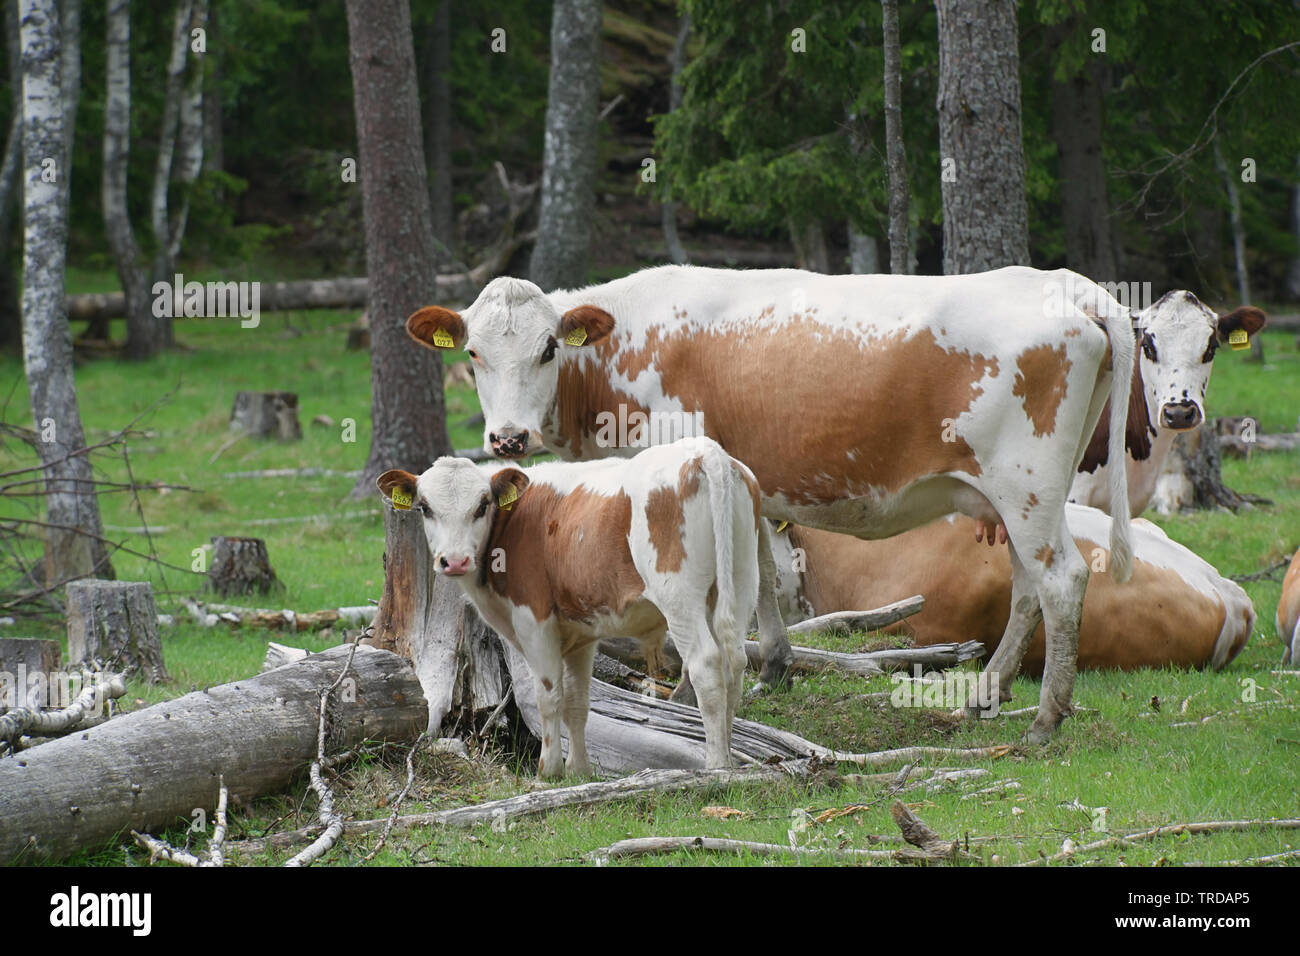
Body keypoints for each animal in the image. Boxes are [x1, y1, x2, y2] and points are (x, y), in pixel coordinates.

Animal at [375, 436, 763, 777]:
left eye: (482, 506)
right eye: (425, 508)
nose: (454, 561)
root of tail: (704, 451)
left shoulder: (534, 619)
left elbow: (549, 697)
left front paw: (549, 770)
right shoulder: (581, 632)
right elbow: (577, 701)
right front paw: (579, 769)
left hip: (680, 597)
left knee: (706, 665)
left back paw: (716, 763)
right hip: (742, 581)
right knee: (734, 661)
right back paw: (729, 752)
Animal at [404, 264, 1137, 742]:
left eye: (548, 347)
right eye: (474, 354)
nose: (507, 437)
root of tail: (1074, 284)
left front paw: (682, 691)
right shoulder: (744, 478)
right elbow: (755, 568)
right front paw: (775, 667)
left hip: (1024, 483)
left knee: (1062, 580)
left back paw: (1045, 718)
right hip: (1028, 493)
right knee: (1027, 587)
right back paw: (986, 695)